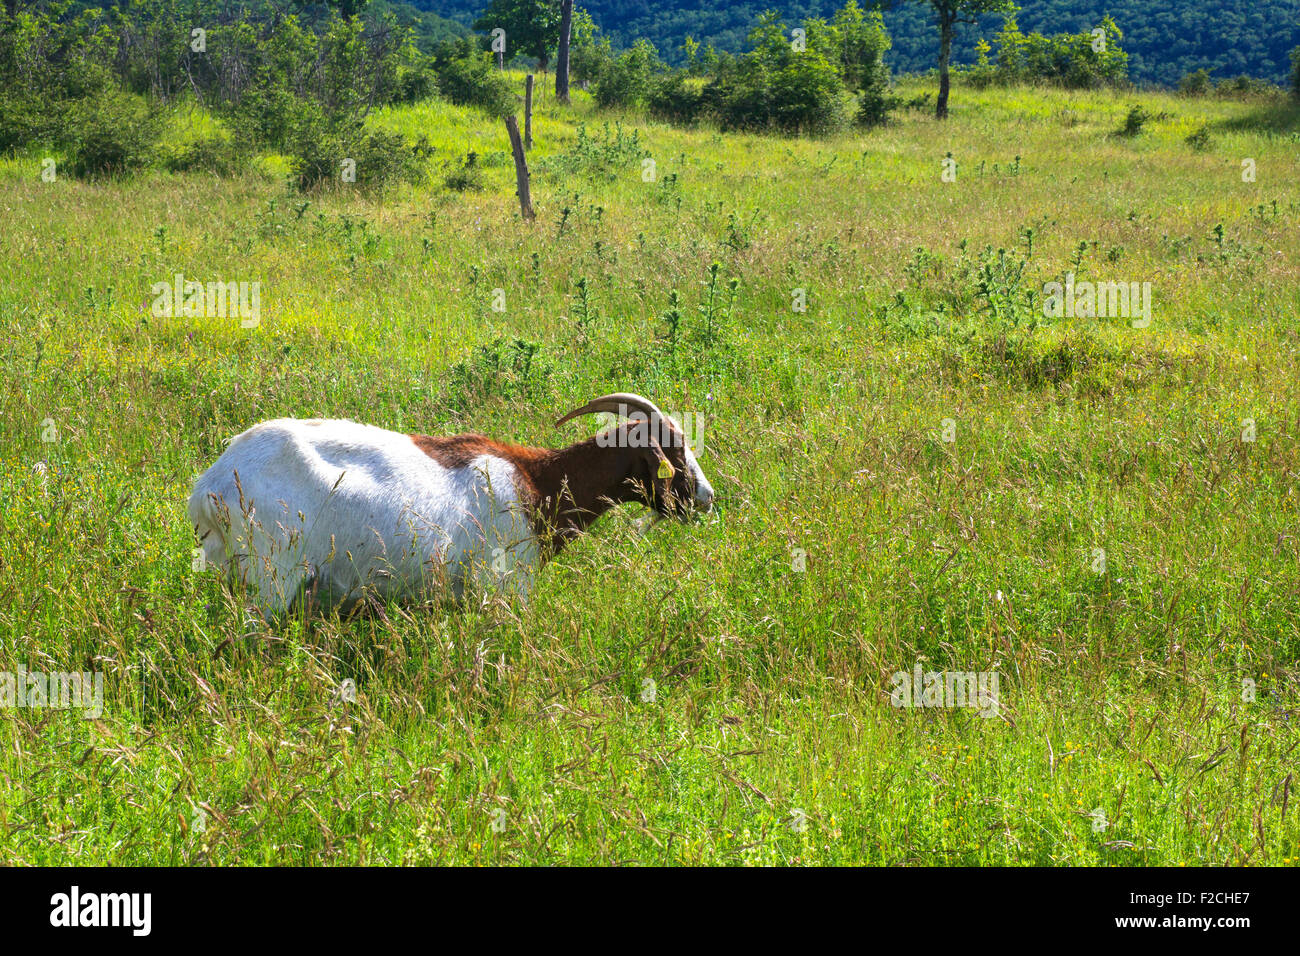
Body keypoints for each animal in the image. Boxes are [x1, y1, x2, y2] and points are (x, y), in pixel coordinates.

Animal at [188, 393, 714, 616]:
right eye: (675, 450)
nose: (707, 497)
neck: (537, 483)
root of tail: (210, 485)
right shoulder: (504, 582)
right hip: (273, 574)